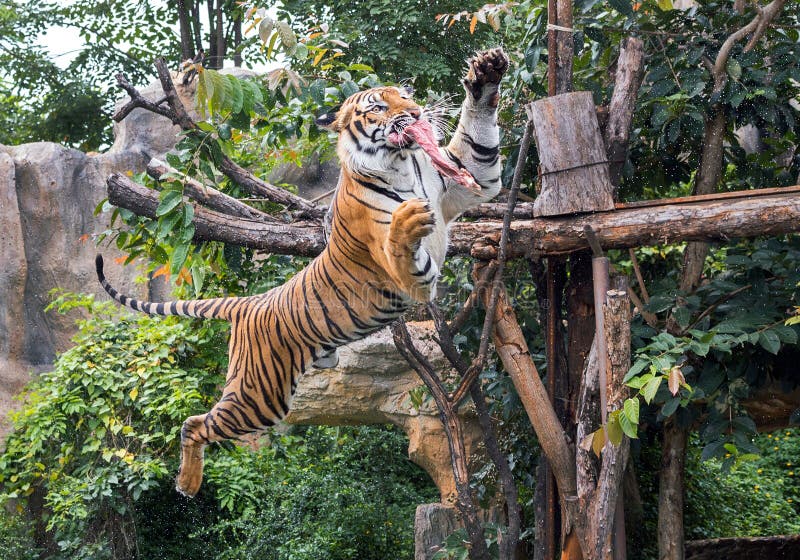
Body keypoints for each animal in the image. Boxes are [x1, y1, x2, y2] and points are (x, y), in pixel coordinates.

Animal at [96, 48, 509, 497]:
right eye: (379, 107)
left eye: (405, 97)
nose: (416, 113)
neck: (403, 164)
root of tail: (250, 304)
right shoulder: (405, 275)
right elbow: (400, 246)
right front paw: (407, 219)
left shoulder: (466, 181)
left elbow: (478, 149)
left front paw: (485, 74)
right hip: (259, 395)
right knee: (195, 423)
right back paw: (187, 484)